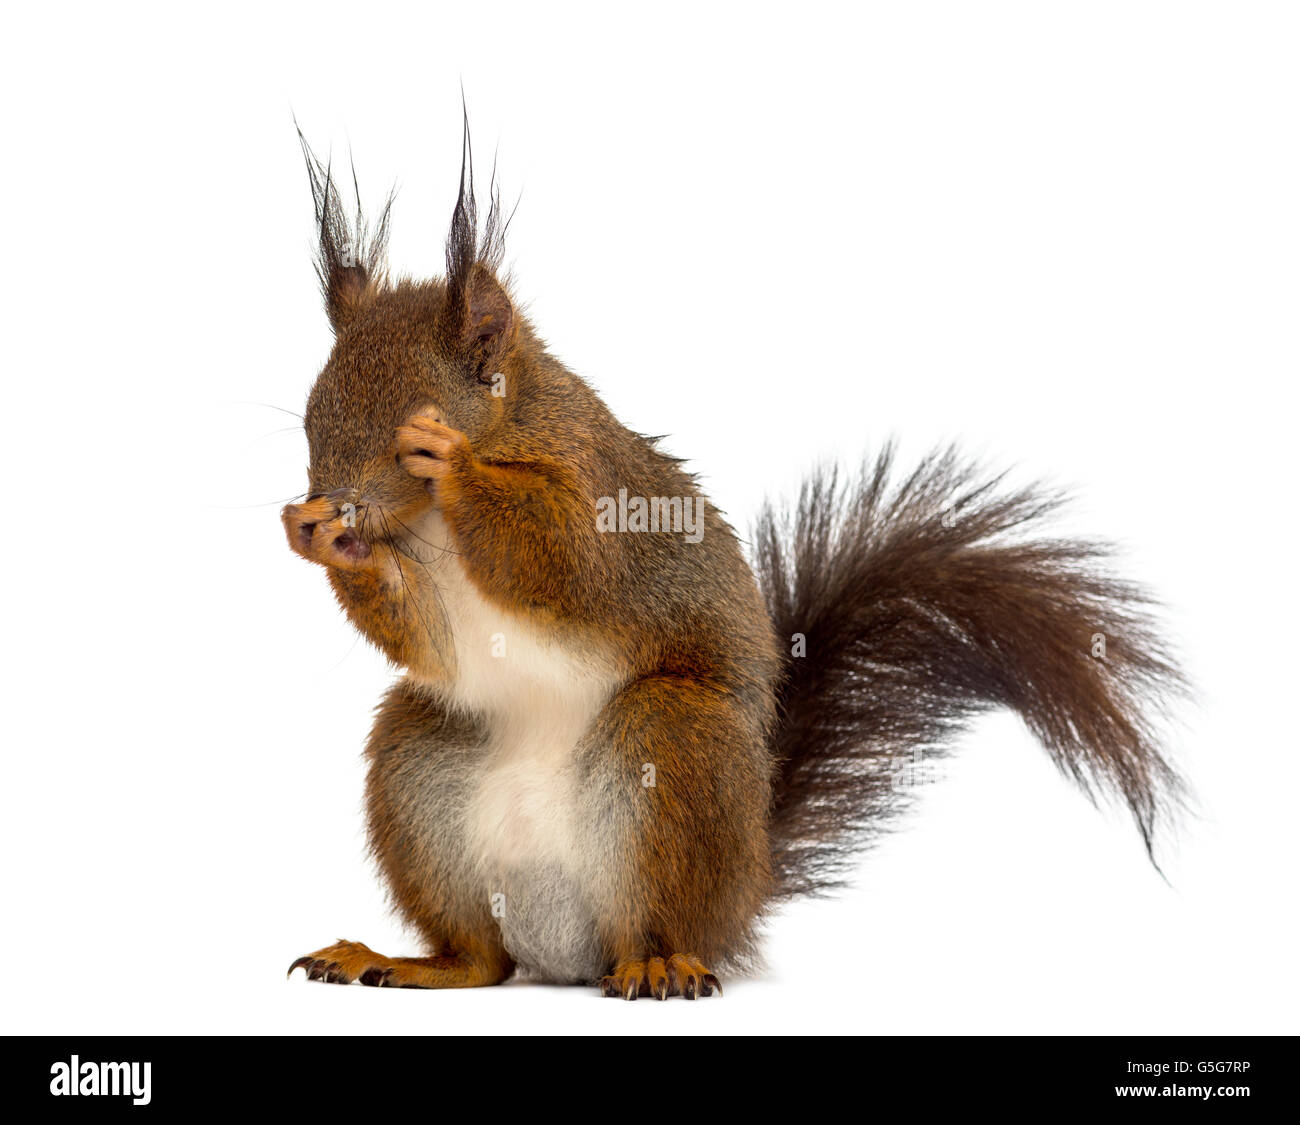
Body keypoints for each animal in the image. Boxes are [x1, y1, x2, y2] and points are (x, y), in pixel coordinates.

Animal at [282, 120, 1185, 1000]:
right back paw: (411, 960)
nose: (327, 503)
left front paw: (455, 462)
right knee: (484, 957)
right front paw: (318, 537)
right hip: (420, 762)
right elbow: (427, 636)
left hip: (677, 744)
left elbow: (567, 555)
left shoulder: (602, 489)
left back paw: (658, 963)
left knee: (651, 915)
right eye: (311, 420)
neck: (432, 524)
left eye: (408, 429)